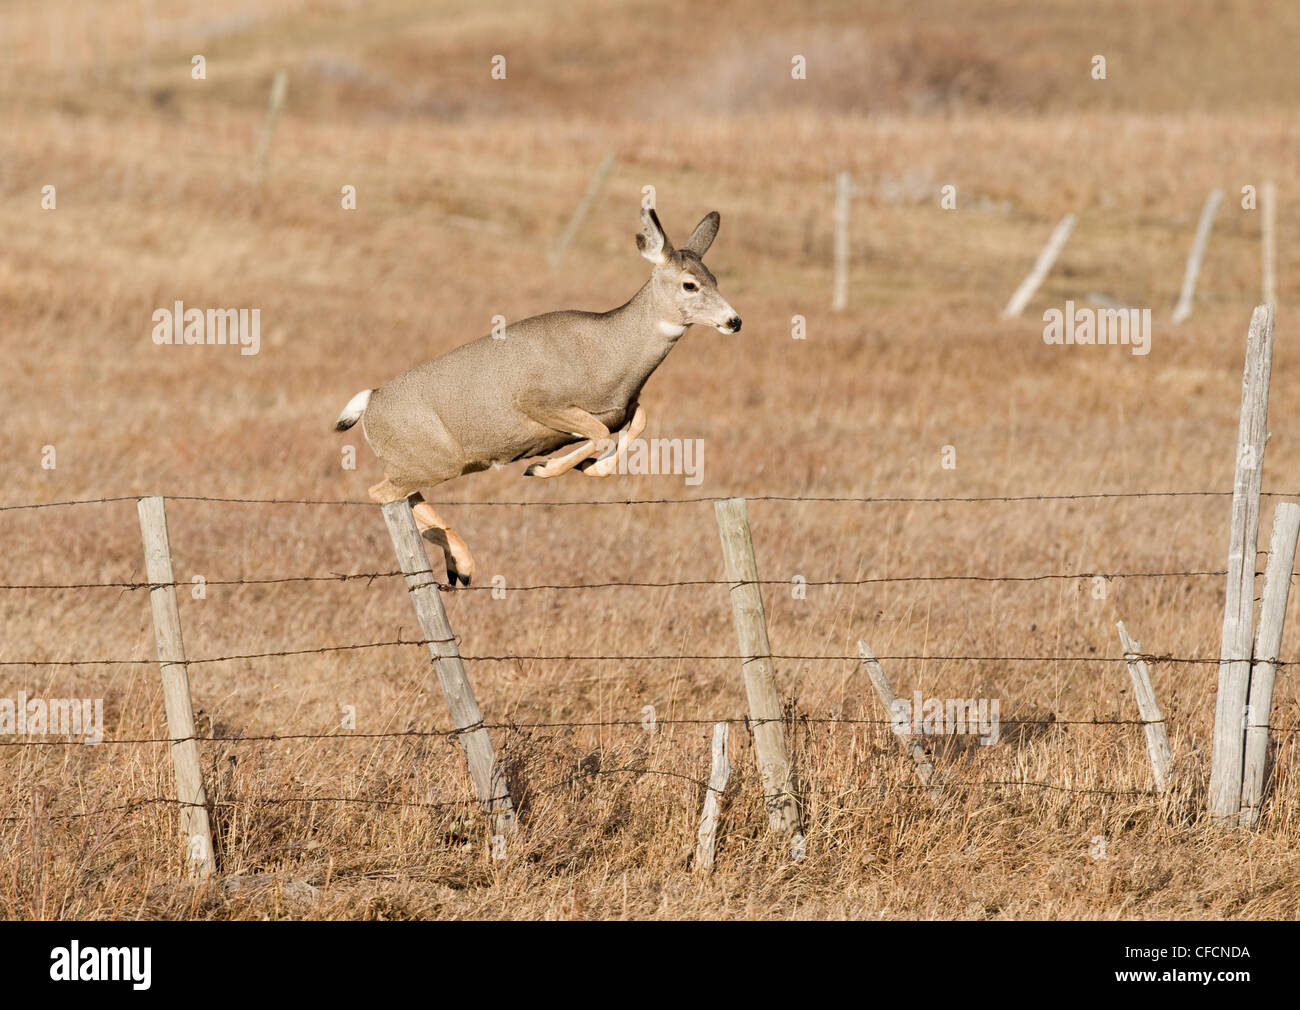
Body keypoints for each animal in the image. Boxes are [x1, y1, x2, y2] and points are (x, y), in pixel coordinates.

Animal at [334, 197, 741, 586]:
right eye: (690, 284)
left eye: (715, 278)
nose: (734, 321)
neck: (608, 356)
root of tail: (371, 402)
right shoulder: (537, 400)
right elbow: (599, 433)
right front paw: (541, 468)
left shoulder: (626, 406)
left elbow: (635, 422)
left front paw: (588, 468)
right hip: (435, 460)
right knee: (379, 494)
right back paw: (460, 562)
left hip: (418, 465)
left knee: (400, 495)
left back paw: (459, 565)